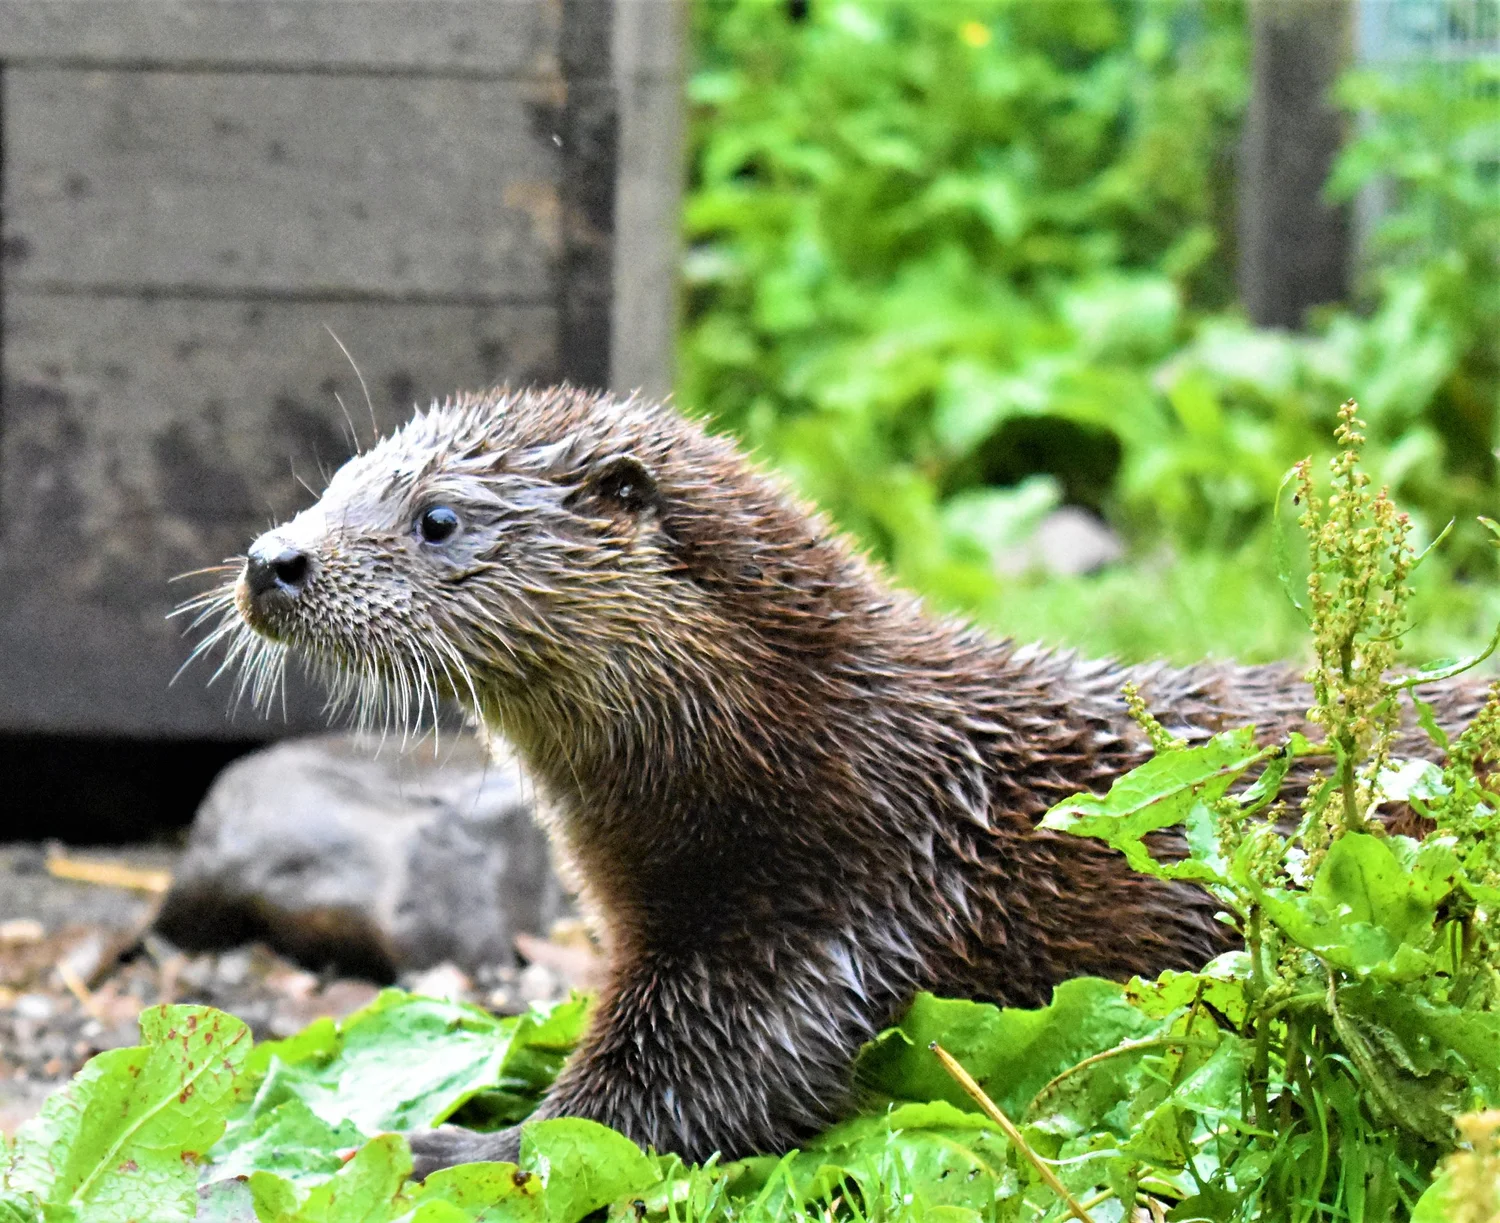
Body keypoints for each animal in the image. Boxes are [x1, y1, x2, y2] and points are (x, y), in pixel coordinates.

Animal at [183, 386, 1483, 1174]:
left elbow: (687, 1094)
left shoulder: (835, 903)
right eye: (338, 481)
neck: (803, 744)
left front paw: (463, 1149)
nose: (273, 559)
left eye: (439, 517)